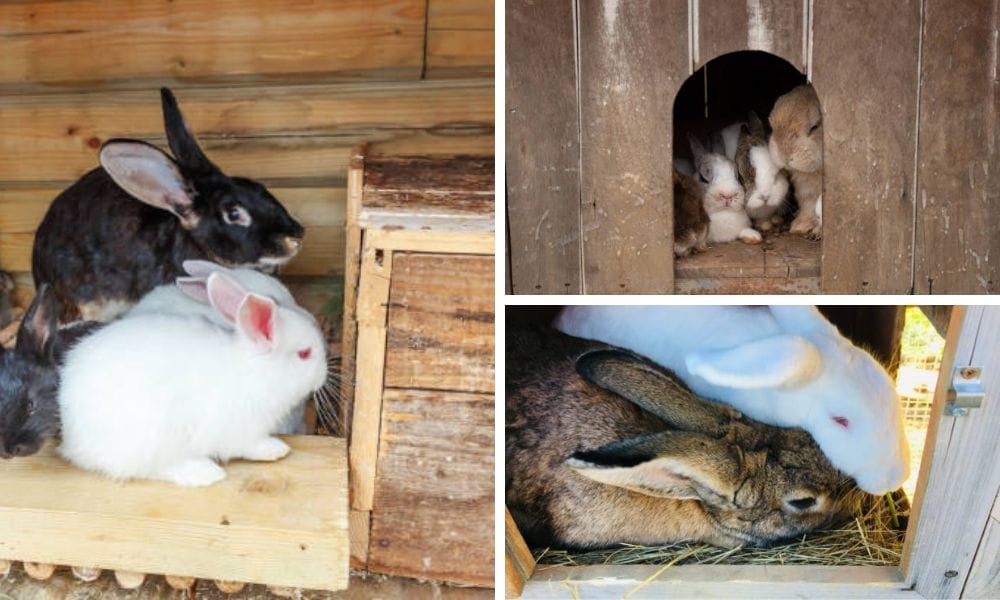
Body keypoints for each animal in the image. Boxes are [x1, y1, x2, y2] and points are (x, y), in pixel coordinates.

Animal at [57, 271, 328, 486]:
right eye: (305, 354)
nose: (323, 375)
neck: (256, 371)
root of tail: (73, 438)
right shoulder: (239, 429)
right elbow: (250, 445)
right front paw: (276, 450)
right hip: (151, 439)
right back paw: (203, 473)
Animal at [768, 84, 823, 239]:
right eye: (772, 125)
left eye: (815, 126)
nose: (785, 155)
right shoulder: (806, 189)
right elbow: (808, 204)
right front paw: (801, 226)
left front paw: (818, 232)